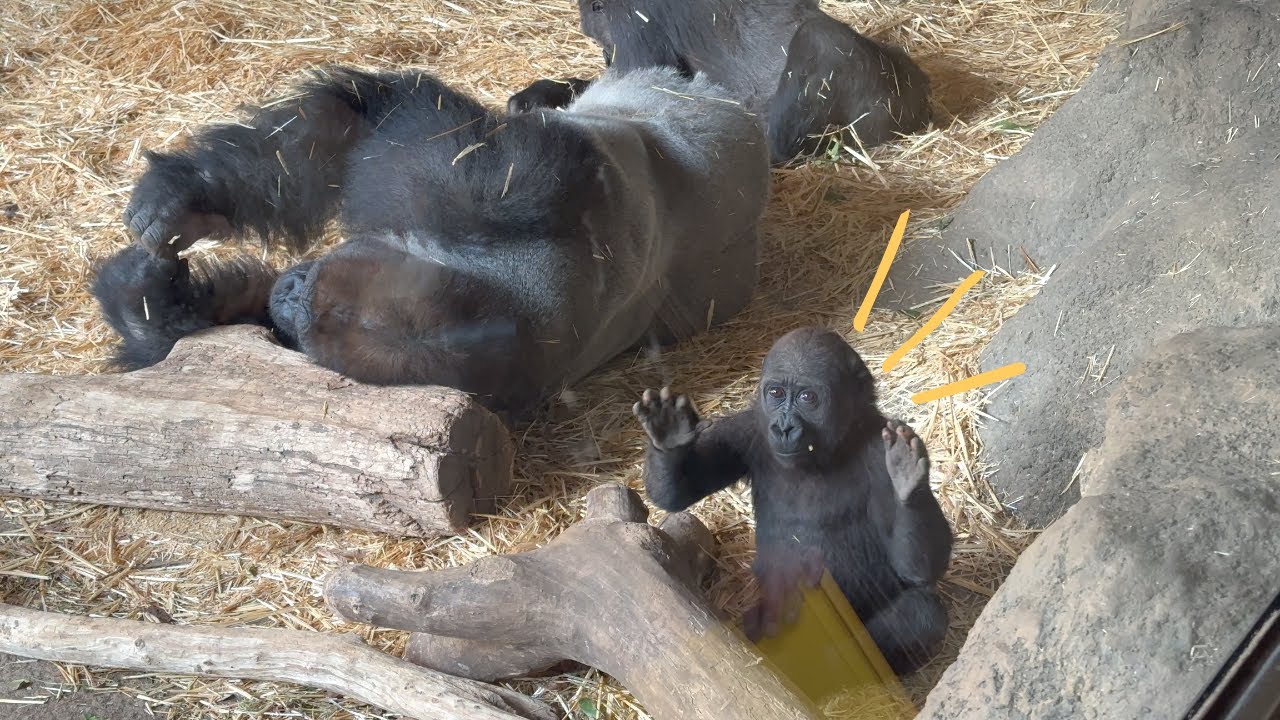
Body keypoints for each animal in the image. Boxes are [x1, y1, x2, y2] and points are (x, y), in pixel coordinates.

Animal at [509, 0, 931, 164]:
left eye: (600, 39)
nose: (604, 55)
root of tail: (921, 102)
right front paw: (538, 94)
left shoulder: (633, 16)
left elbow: (637, 90)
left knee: (819, 39)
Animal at [632, 326, 953, 674]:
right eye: (775, 393)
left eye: (807, 398)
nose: (784, 427)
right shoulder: (746, 429)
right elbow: (680, 491)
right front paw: (670, 434)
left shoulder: (877, 452)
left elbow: (915, 568)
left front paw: (910, 487)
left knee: (920, 613)